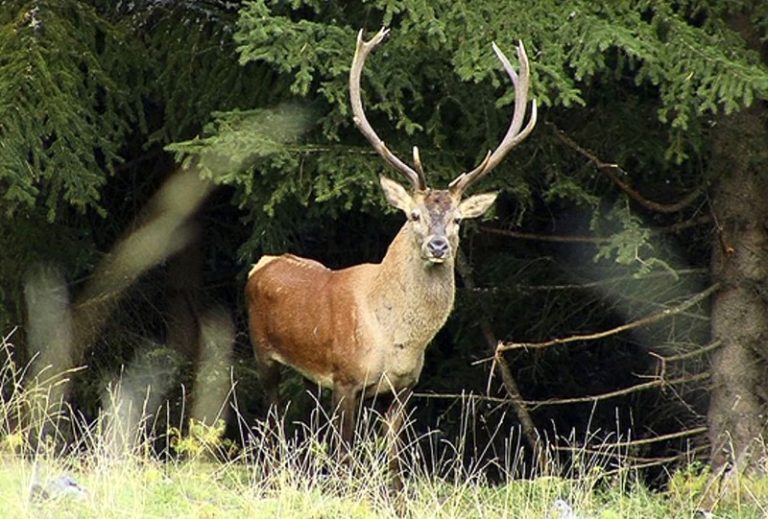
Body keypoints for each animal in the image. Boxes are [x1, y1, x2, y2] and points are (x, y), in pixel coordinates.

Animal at [245, 27, 536, 489]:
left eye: (457, 220)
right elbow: (344, 459)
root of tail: (263, 262)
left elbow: (395, 465)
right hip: (262, 352)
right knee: (272, 419)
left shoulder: (403, 388)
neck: (396, 336)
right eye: (414, 215)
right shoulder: (345, 379)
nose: (437, 245)